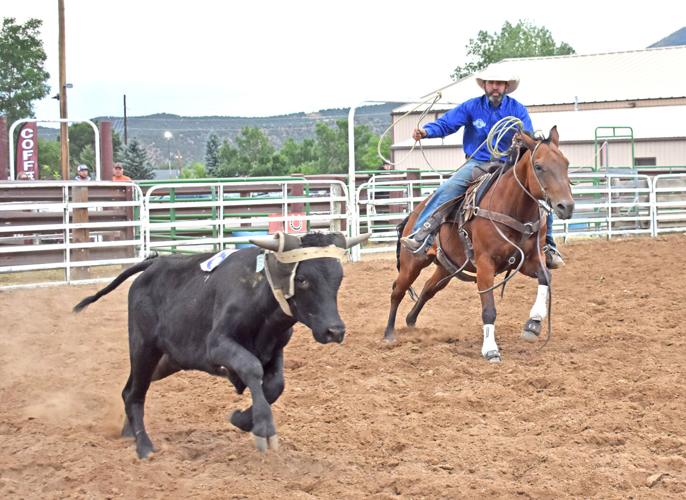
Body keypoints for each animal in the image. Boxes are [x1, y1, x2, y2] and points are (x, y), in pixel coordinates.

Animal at [73, 231, 369, 459]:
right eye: (302, 279)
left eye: (339, 278)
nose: (335, 330)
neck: (258, 294)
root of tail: (153, 265)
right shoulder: (216, 346)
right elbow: (251, 368)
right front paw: (263, 428)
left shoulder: (275, 348)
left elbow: (275, 384)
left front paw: (242, 419)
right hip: (143, 347)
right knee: (135, 394)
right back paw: (144, 446)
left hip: (166, 360)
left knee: (130, 390)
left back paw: (128, 433)